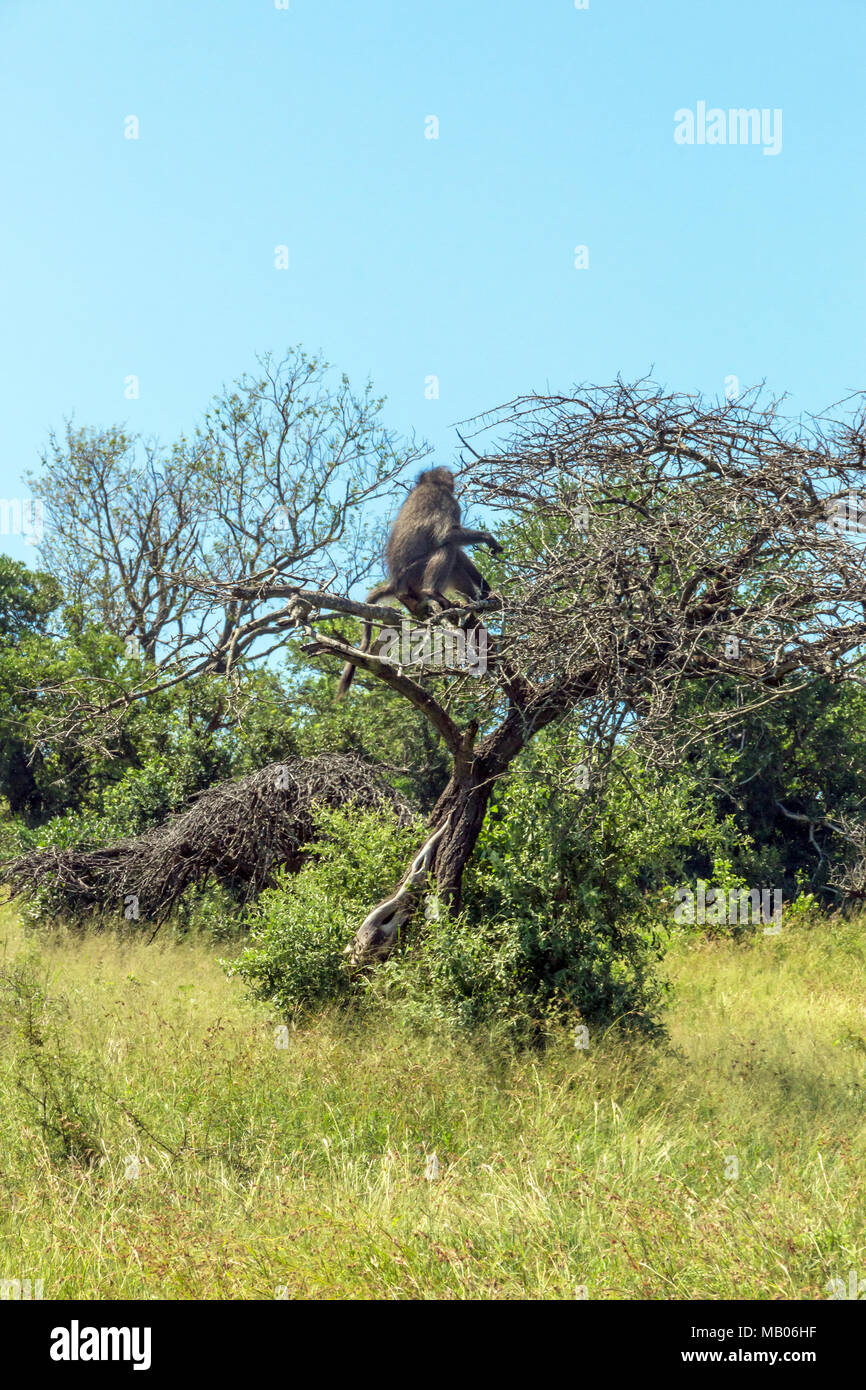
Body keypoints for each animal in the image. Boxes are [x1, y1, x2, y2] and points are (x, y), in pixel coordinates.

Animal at [336, 466, 501, 697]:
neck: (429, 484)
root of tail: (395, 582)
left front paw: (486, 590)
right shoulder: (448, 501)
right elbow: (446, 534)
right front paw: (488, 538)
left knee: (455, 555)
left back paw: (471, 604)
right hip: (414, 574)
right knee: (448, 548)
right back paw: (435, 593)